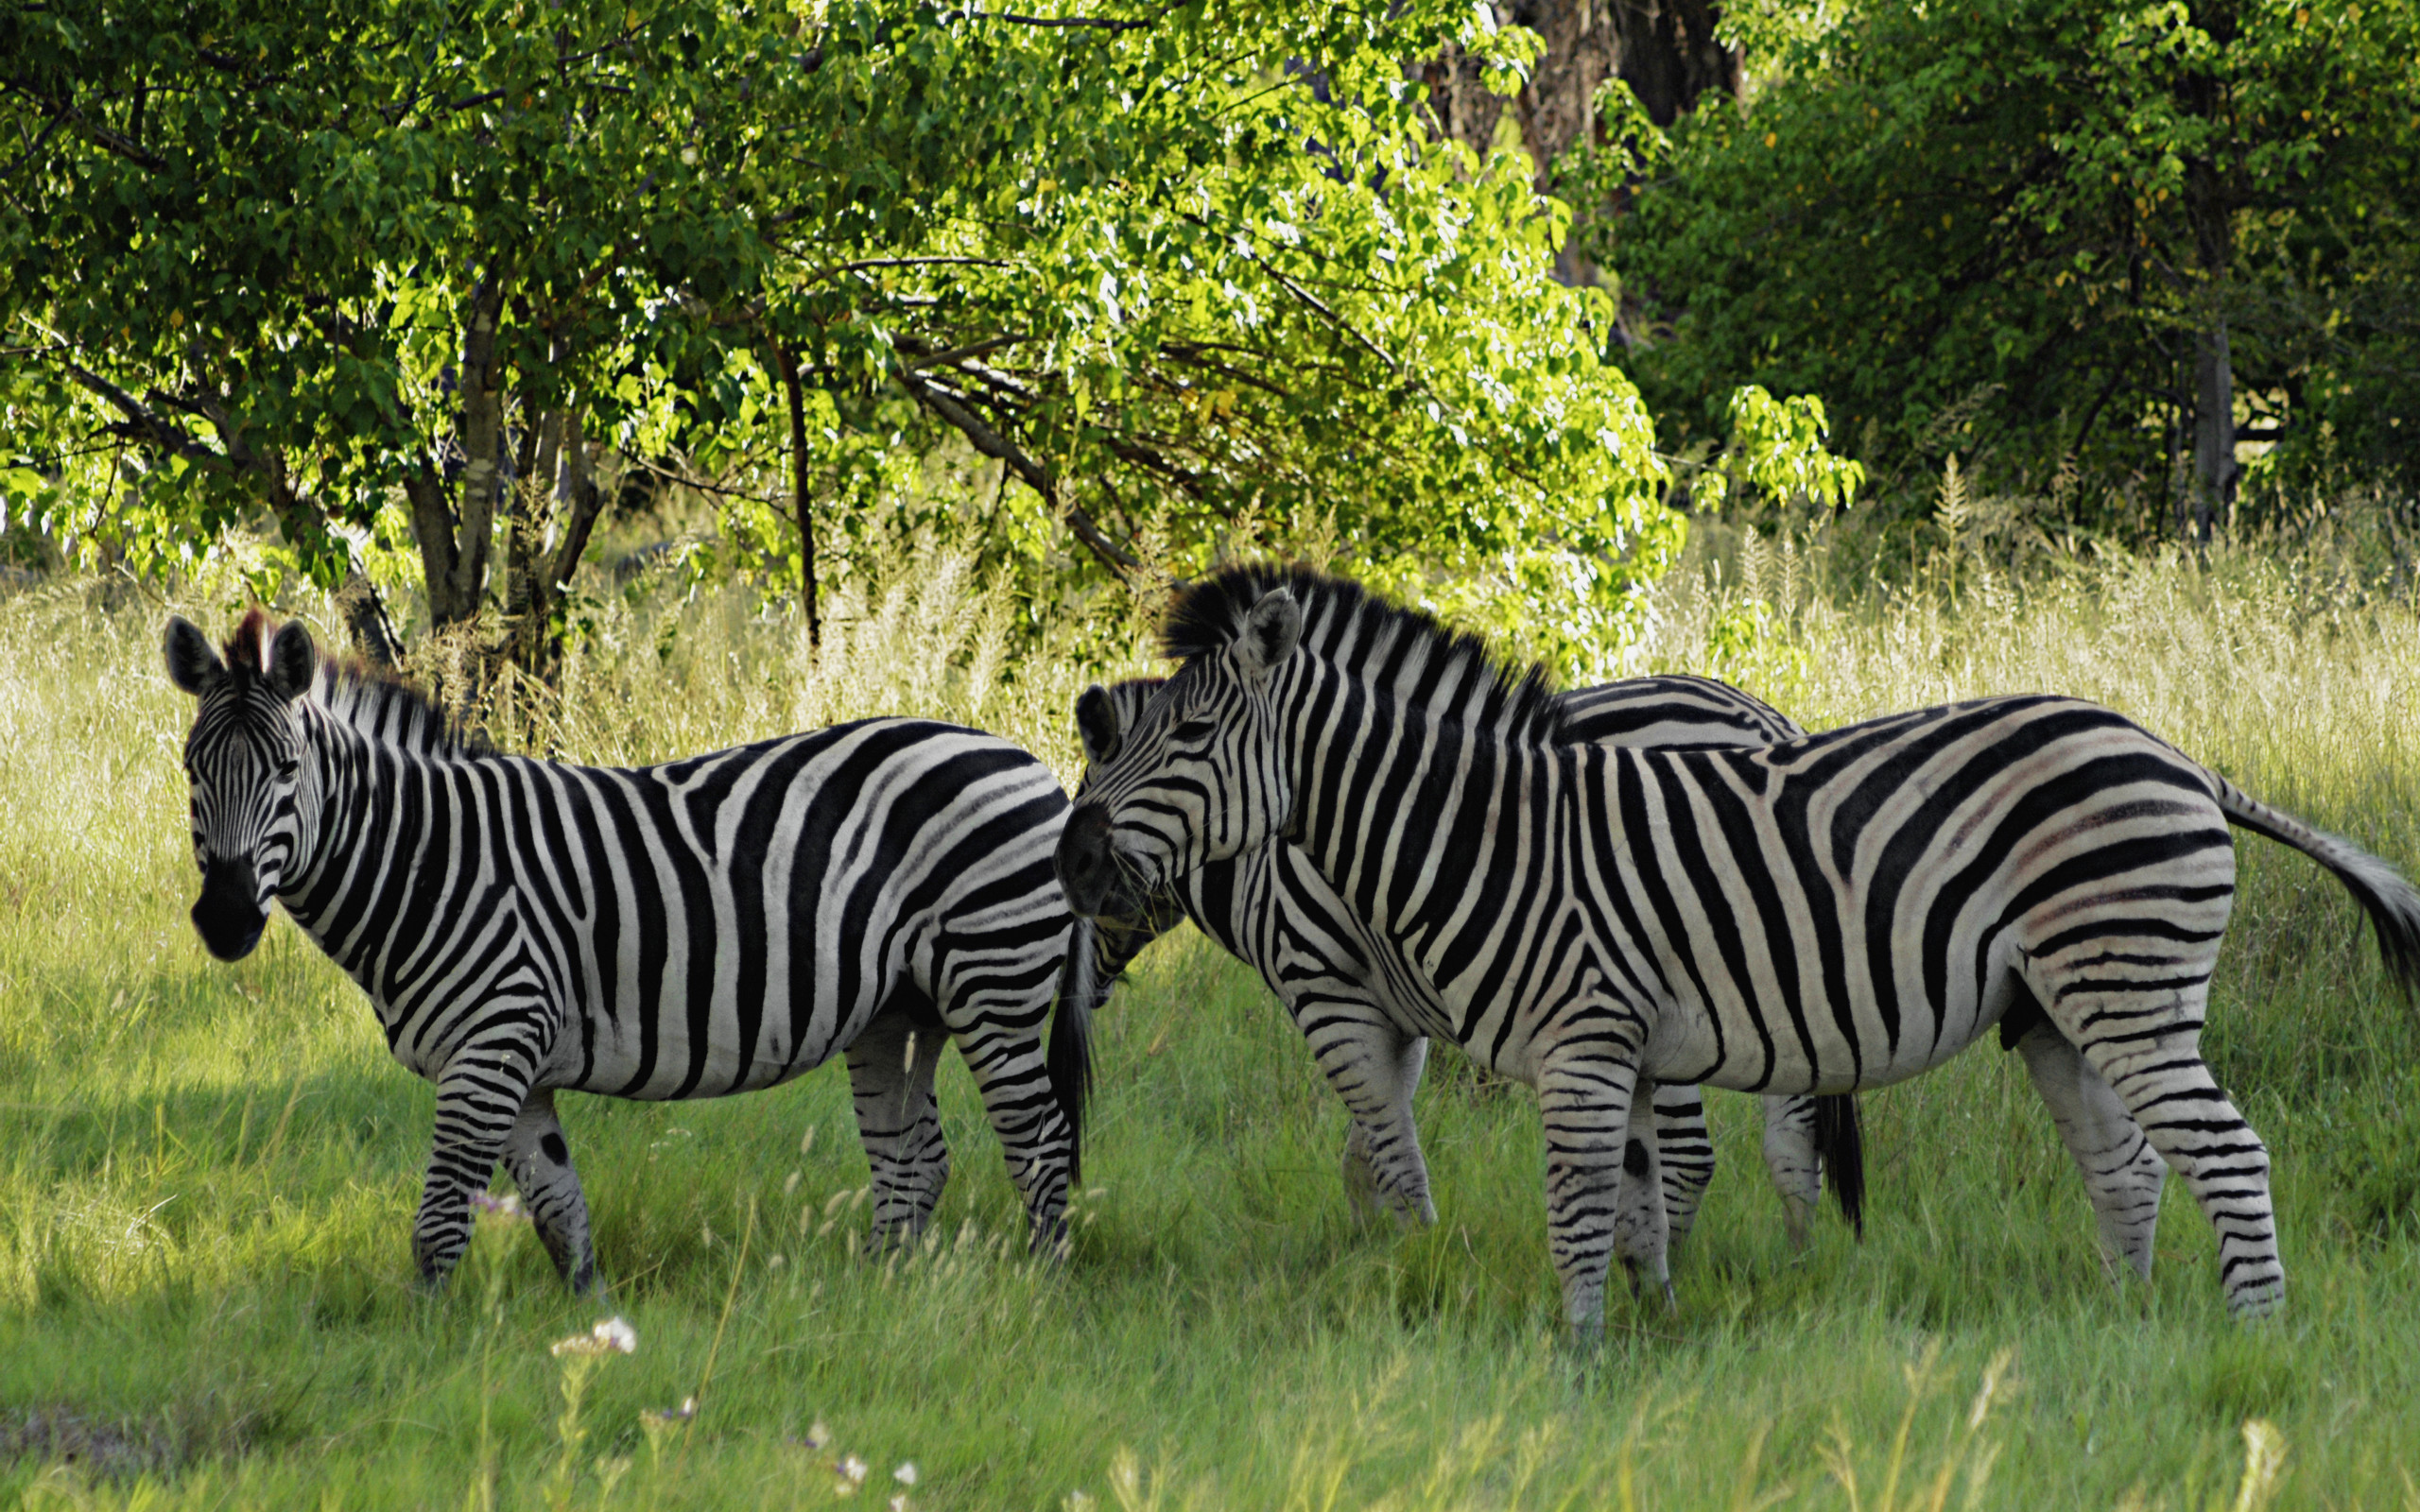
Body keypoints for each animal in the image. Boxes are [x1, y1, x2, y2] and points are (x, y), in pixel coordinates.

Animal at [165, 610, 1102, 1291]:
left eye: (286, 770)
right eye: (190, 772)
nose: (225, 920)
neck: (429, 860)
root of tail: (1028, 759)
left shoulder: (491, 1044)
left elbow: (438, 1224)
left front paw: (423, 1347)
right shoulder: (518, 1068)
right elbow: (559, 1210)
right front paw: (588, 1328)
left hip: (994, 985)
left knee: (1040, 1142)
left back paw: (1043, 1289)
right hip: (899, 1013)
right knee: (915, 1161)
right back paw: (879, 1296)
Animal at [1073, 674, 1864, 1289]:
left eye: (1086, 821)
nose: (1081, 998)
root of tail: (1766, 719)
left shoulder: (1324, 985)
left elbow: (1380, 1139)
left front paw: (1405, 1257)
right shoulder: (1398, 1011)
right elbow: (1368, 1145)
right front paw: (1372, 1248)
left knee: (1694, 1157)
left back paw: (1678, 1268)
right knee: (1793, 1145)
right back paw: (1796, 1270)